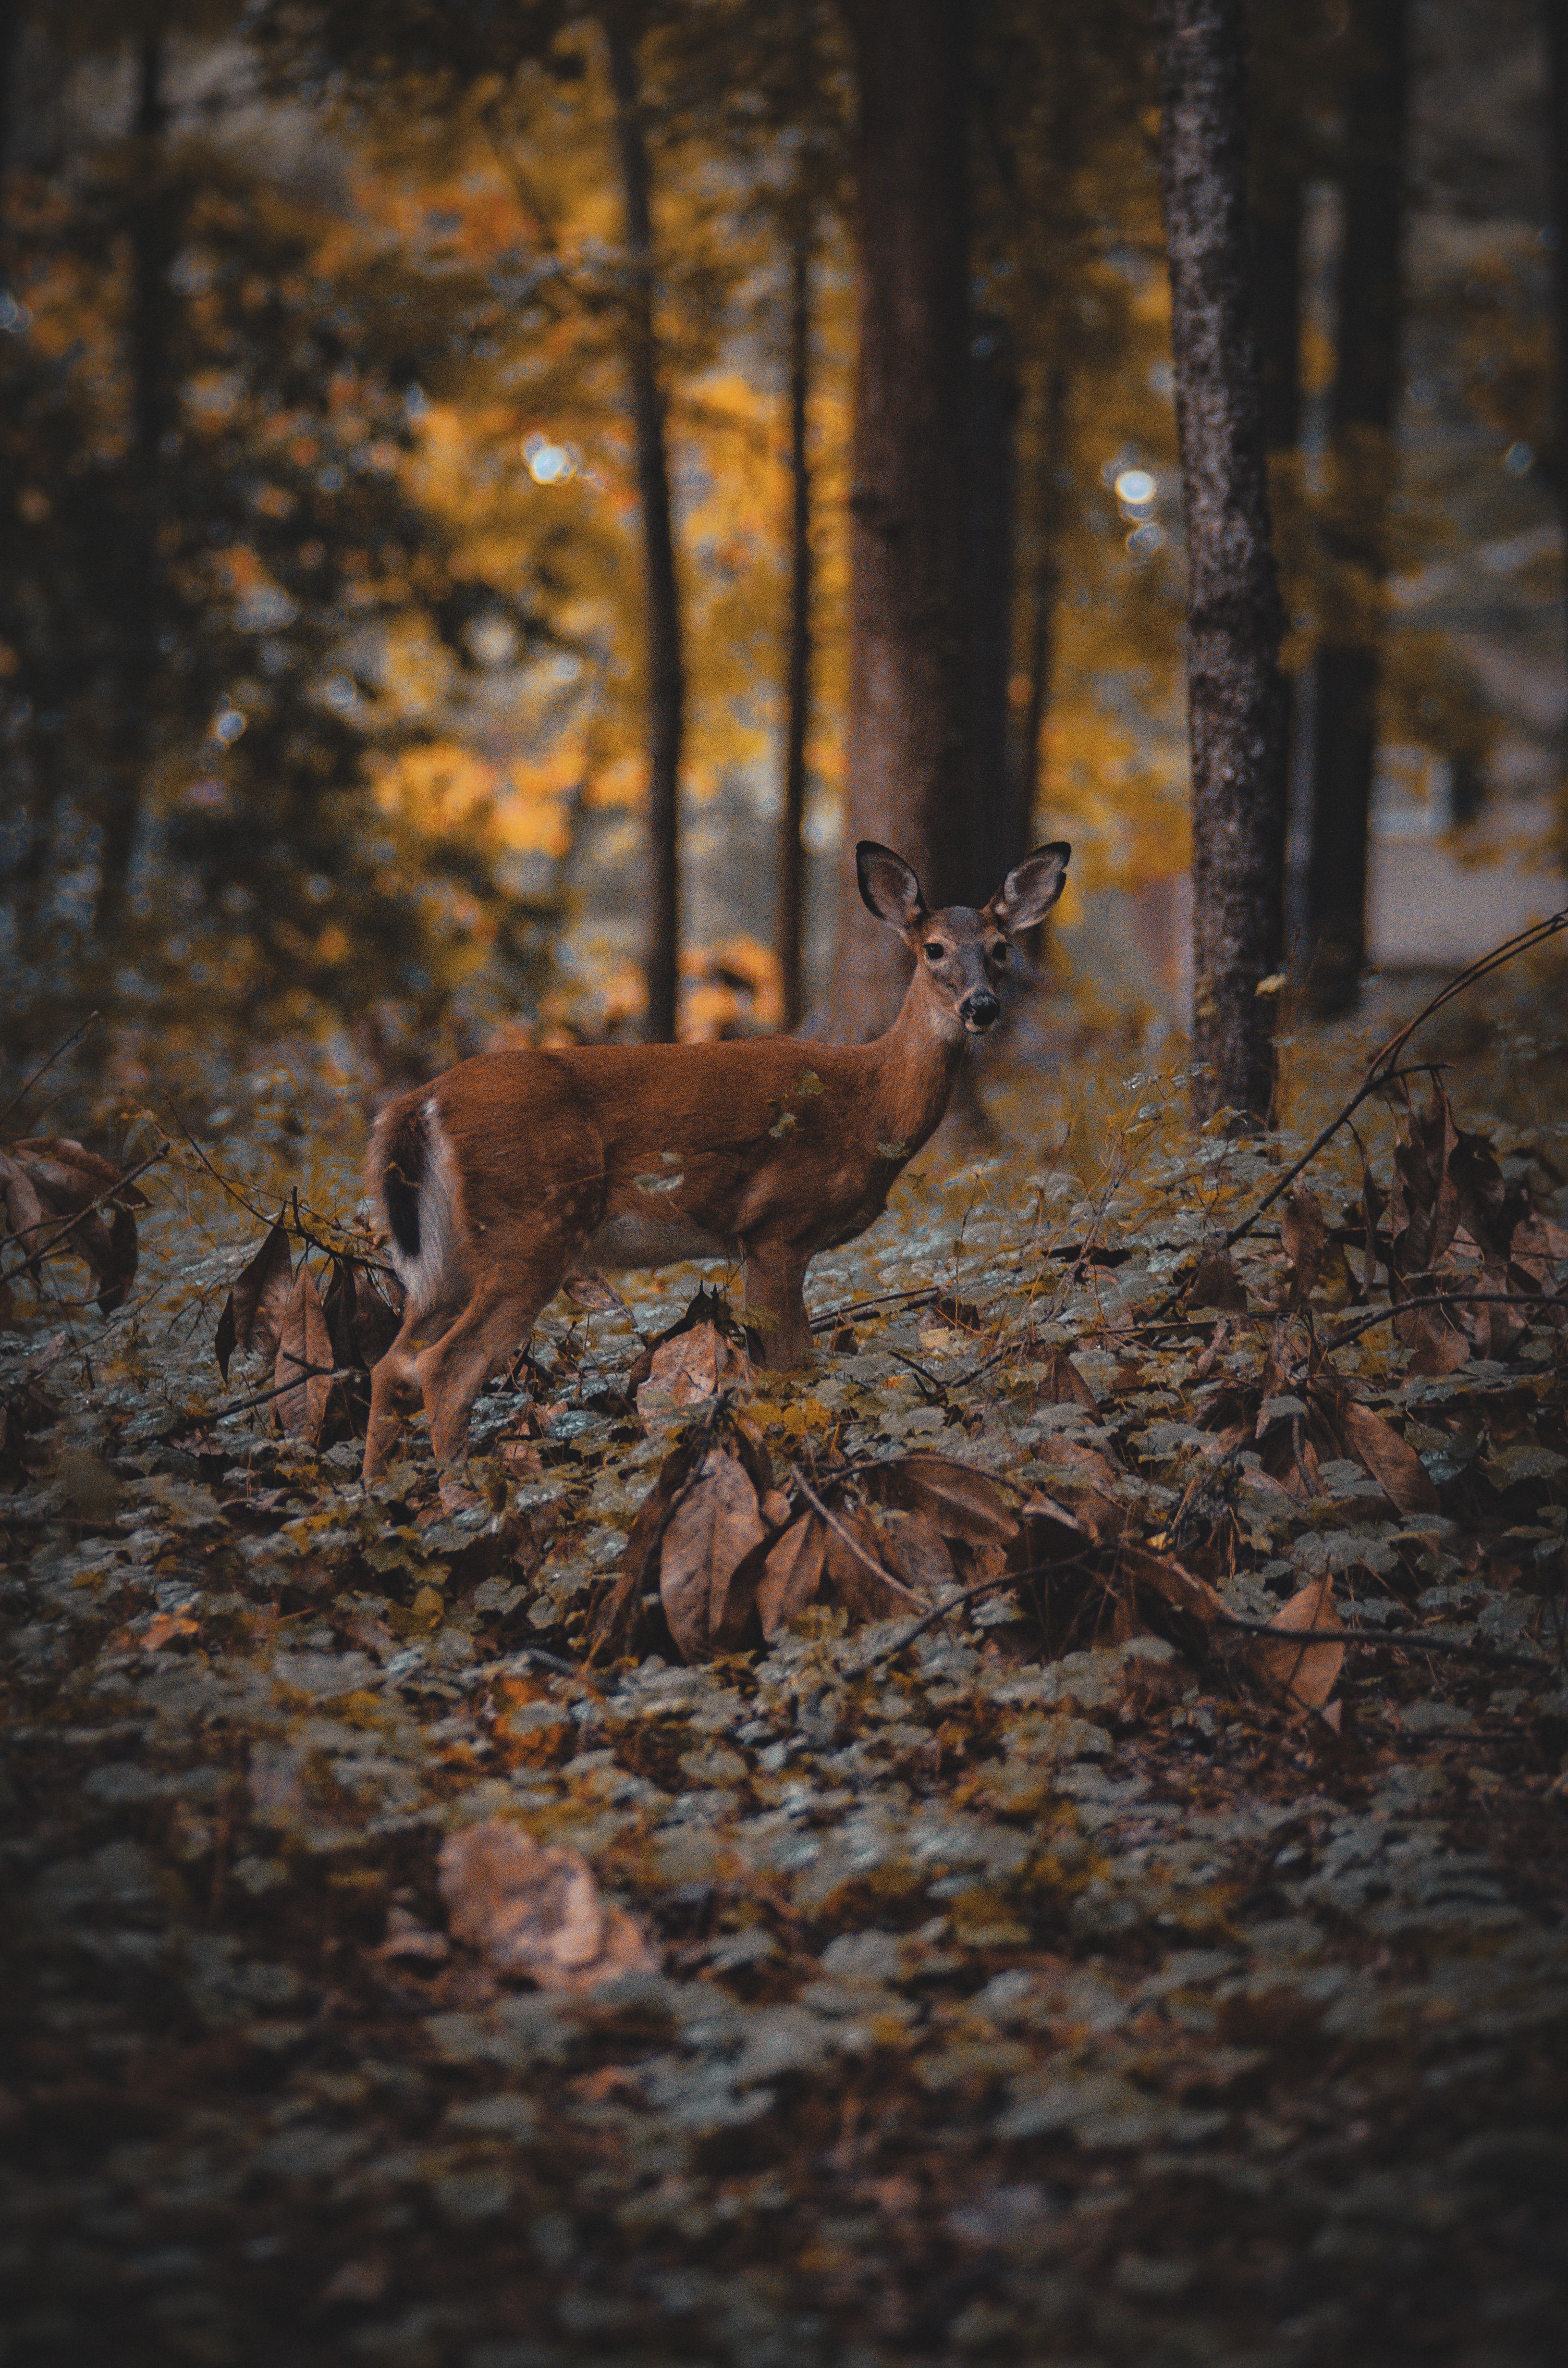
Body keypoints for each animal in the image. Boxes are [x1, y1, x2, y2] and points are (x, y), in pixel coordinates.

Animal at [361, 837, 1070, 1481]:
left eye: (1001, 948)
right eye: (934, 949)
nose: (982, 1007)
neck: (869, 1105)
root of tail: (421, 1102)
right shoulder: (777, 1228)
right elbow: (792, 1369)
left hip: (449, 1256)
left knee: (390, 1363)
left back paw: (377, 1495)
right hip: (531, 1227)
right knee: (444, 1368)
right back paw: (463, 1499)